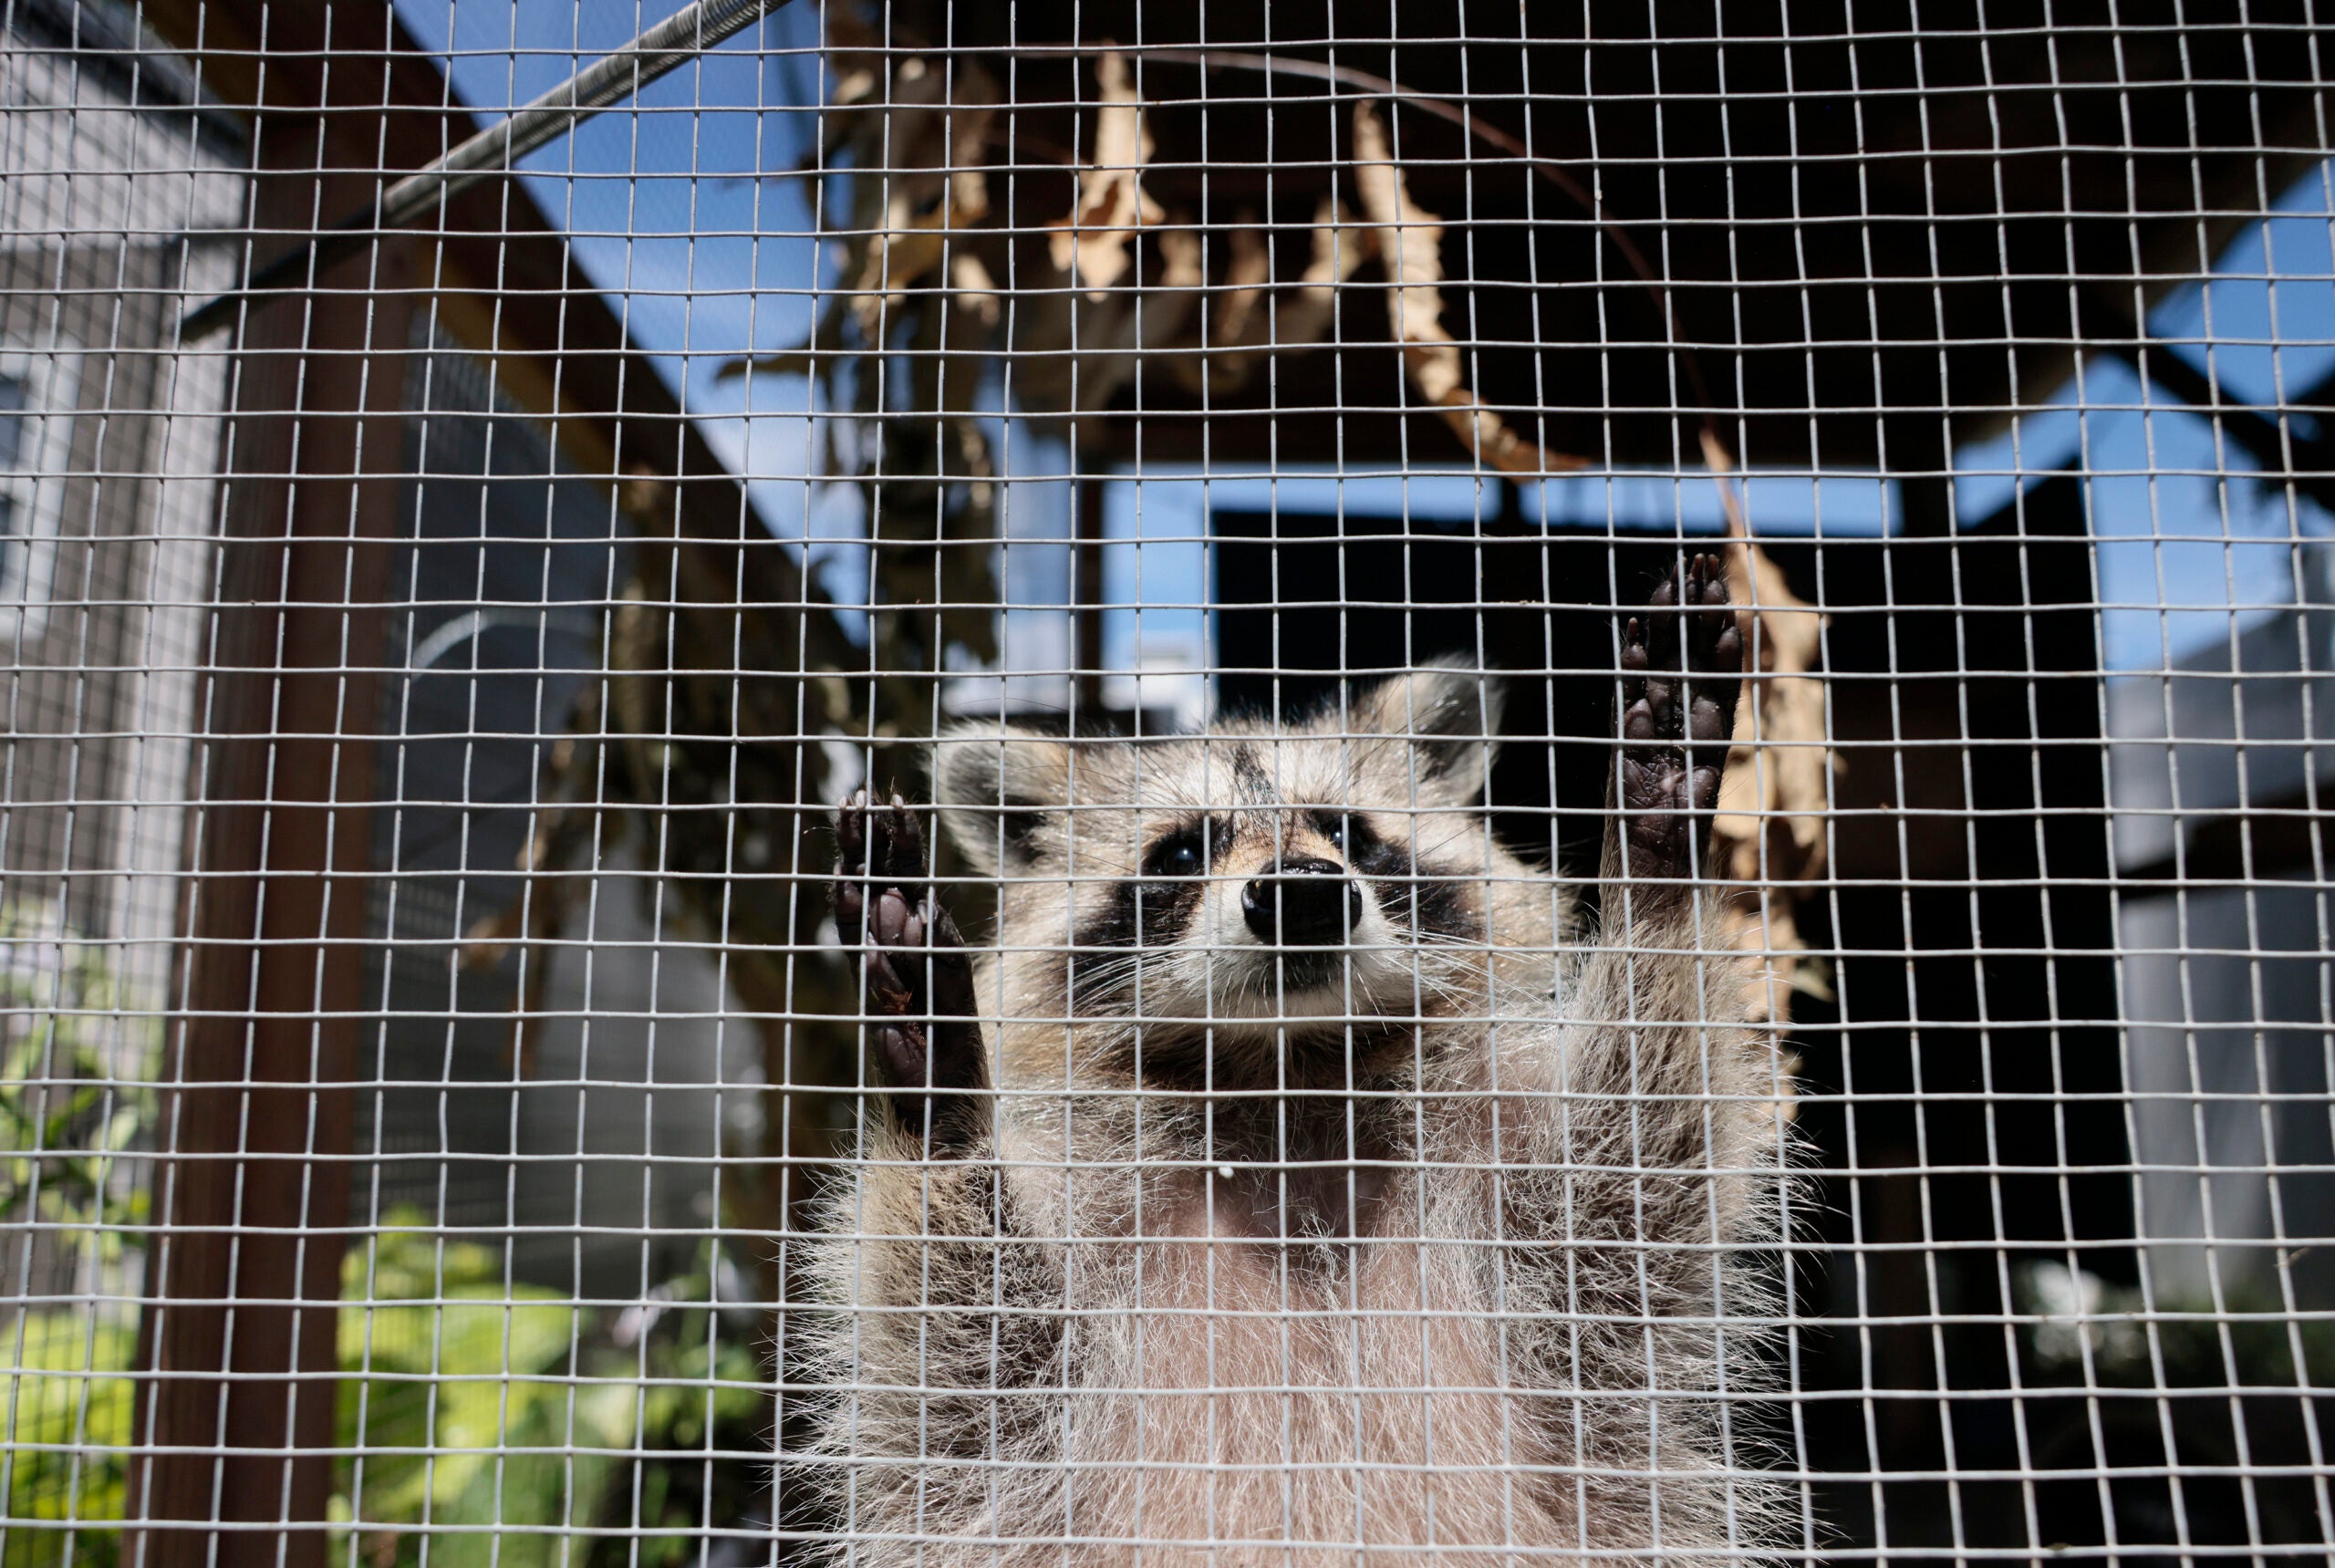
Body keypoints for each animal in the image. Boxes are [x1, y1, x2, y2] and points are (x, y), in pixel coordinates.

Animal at [805, 554, 1787, 1568]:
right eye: (1181, 851)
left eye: (1347, 832)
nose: (1303, 898)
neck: (1289, 1070)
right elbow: (968, 1378)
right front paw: (949, 1114)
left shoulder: (1541, 1295)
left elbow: (1628, 1193)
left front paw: (1656, 873)